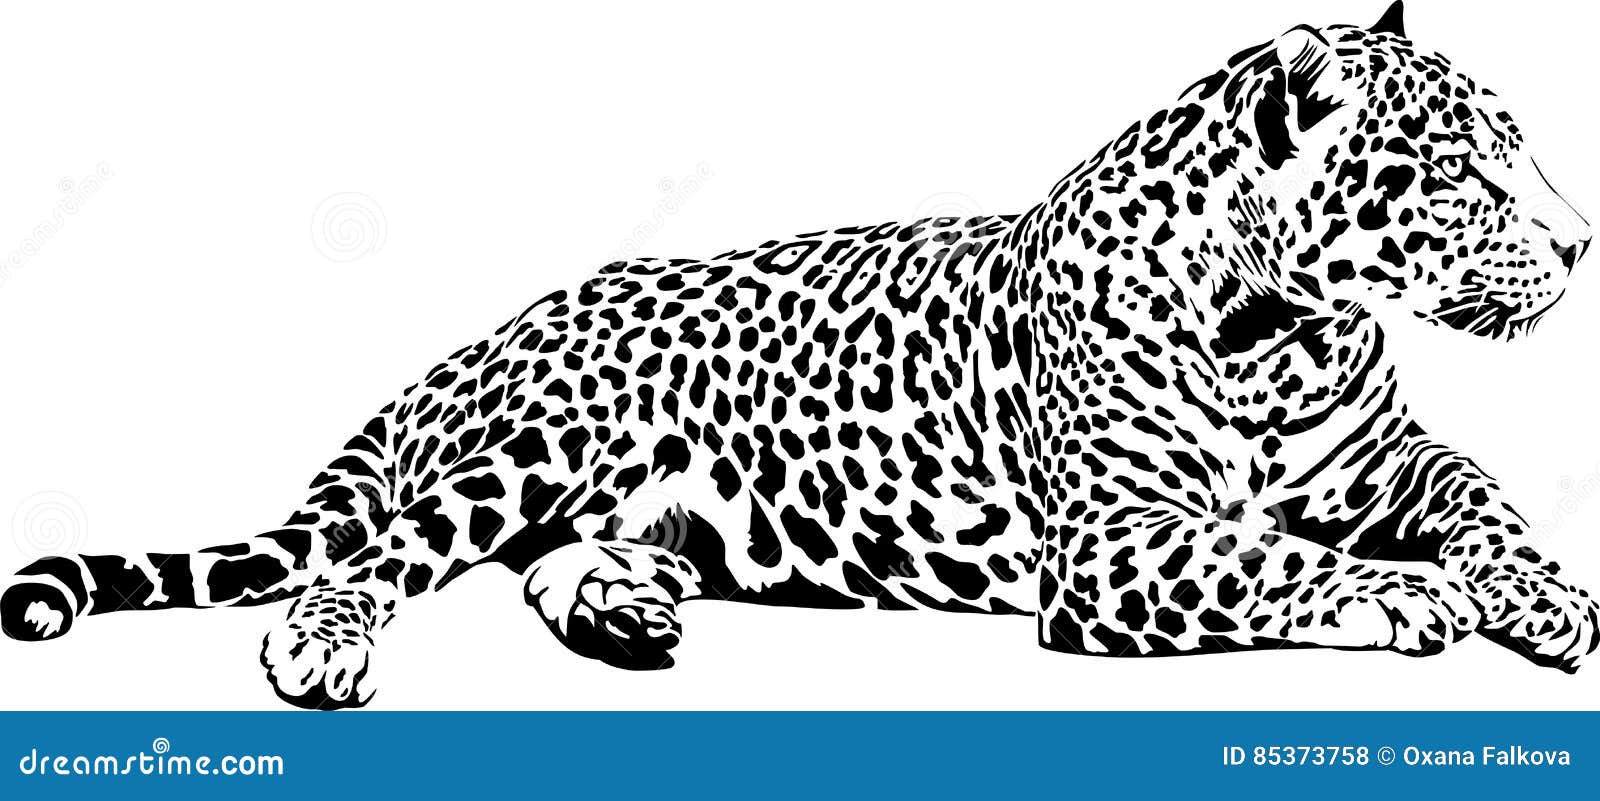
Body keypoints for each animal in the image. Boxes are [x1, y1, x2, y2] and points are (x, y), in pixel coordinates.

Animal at [4, 1, 1596, 709]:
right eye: (1465, 171)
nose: (1584, 246)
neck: (1284, 332)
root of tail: (492, 323)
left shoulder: (1385, 458)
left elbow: (1488, 495)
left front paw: (1550, 598)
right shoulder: (1111, 543)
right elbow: (1265, 556)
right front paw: (1404, 596)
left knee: (544, 563)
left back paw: (624, 610)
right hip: (525, 451)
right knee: (374, 557)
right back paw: (320, 645)